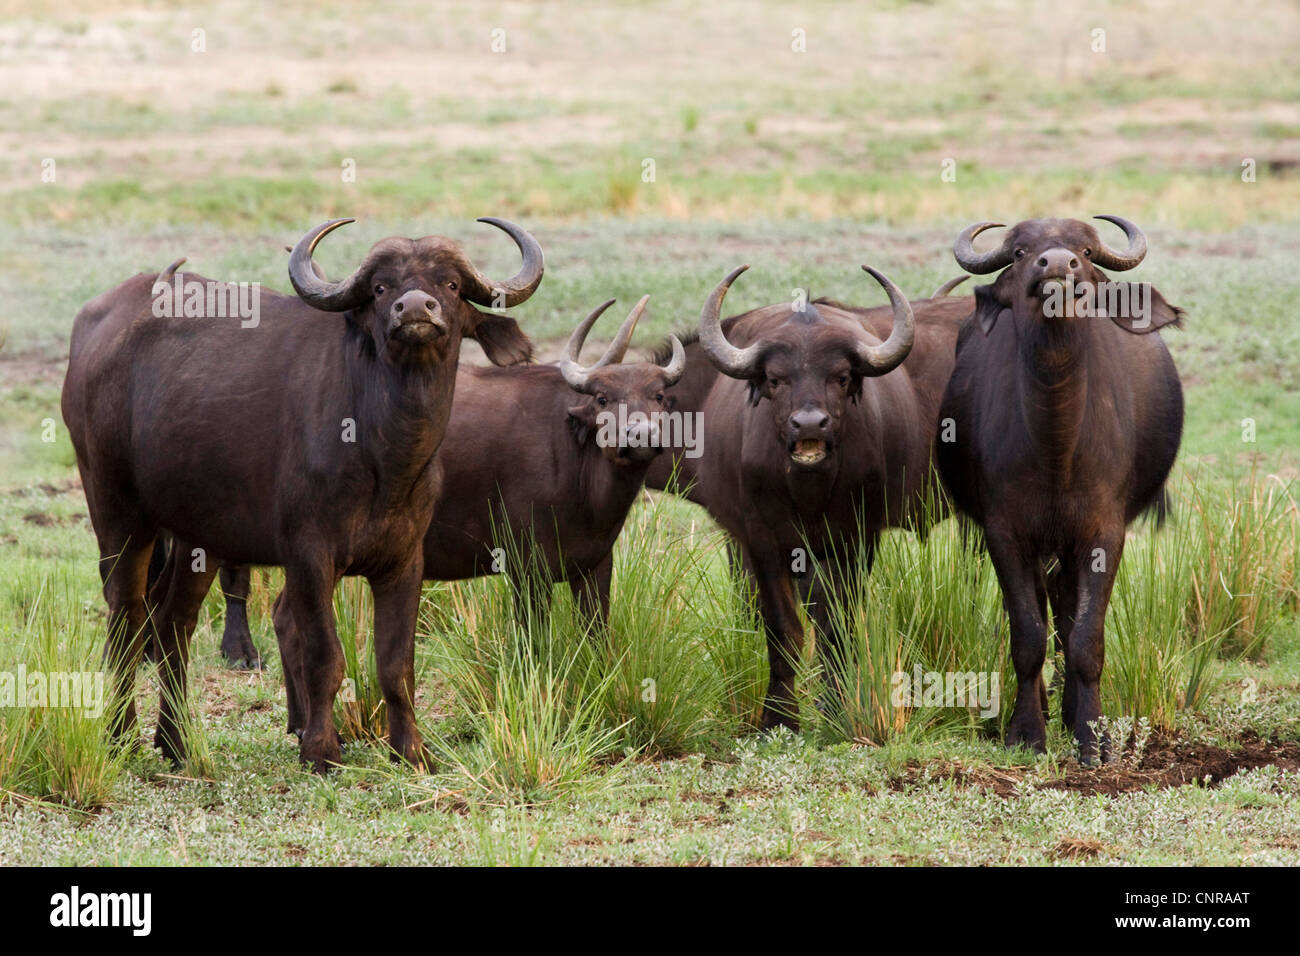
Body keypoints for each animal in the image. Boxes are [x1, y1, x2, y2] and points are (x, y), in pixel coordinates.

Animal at [62, 216, 544, 772]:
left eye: (450, 284)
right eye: (381, 289)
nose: (415, 310)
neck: (384, 457)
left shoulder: (405, 561)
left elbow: (396, 664)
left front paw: (412, 750)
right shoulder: (310, 557)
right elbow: (324, 656)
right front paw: (320, 749)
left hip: (195, 536)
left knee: (173, 622)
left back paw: (176, 742)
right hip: (117, 509)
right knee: (126, 615)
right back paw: (121, 735)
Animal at [935, 215, 1184, 760]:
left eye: (1085, 251)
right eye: (1021, 251)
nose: (1056, 265)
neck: (1056, 445)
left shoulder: (1103, 534)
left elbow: (1086, 638)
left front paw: (1092, 737)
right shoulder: (1005, 536)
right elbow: (1028, 635)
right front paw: (1027, 730)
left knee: (1069, 620)